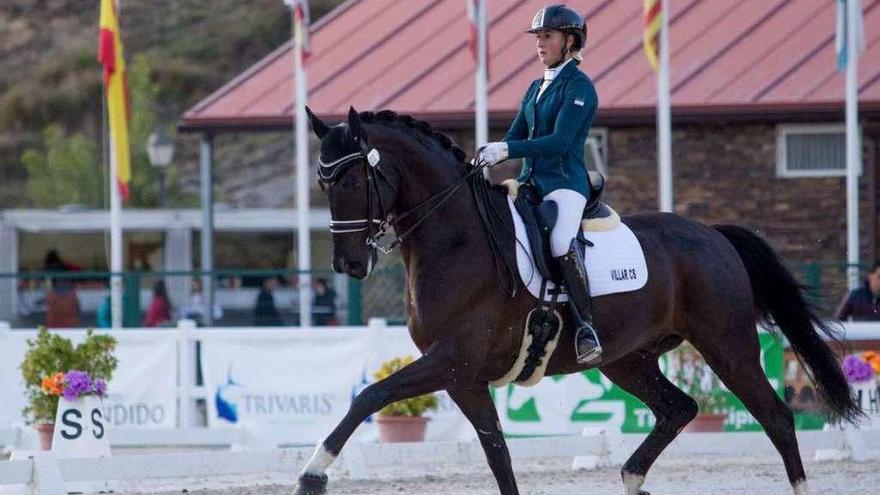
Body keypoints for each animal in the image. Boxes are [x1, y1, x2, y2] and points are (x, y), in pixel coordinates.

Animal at [296, 107, 860, 495]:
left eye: (352, 178)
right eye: (322, 183)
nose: (349, 265)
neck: (456, 239)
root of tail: (713, 235)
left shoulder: (451, 361)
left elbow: (370, 396)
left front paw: (312, 473)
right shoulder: (464, 378)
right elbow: (498, 454)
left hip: (727, 344)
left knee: (776, 416)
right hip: (627, 360)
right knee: (679, 408)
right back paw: (632, 479)